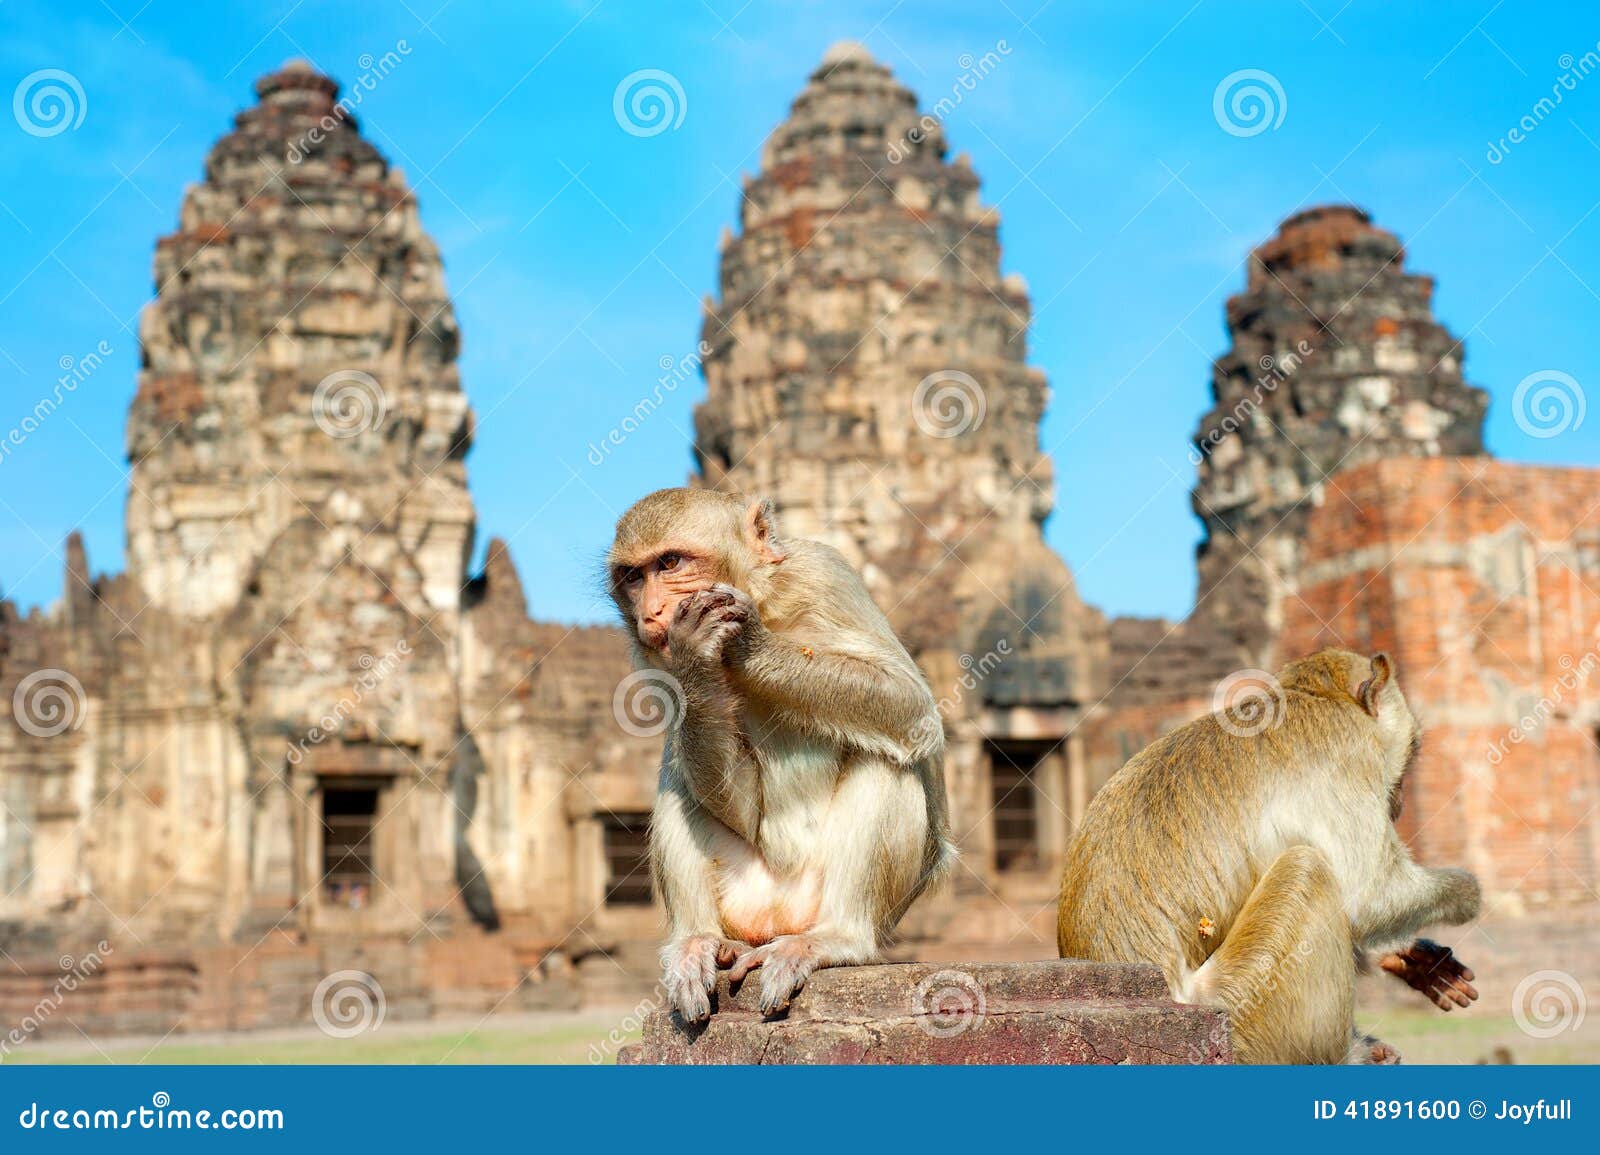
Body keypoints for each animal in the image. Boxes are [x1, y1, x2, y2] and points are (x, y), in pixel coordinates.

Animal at [607, 488, 955, 1023]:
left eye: (669, 563)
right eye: (632, 577)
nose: (652, 612)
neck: (768, 602)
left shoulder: (825, 573)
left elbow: (911, 707)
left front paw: (748, 647)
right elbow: (741, 808)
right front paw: (696, 658)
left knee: (888, 761)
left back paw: (836, 939)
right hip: (744, 896)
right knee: (677, 780)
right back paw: (699, 942)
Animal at [1057, 649, 1481, 1064]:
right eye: (1412, 751)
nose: (1401, 801)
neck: (1313, 697)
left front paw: (1405, 955)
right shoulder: (1349, 753)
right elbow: (1369, 896)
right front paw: (1467, 894)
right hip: (1244, 1009)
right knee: (1308, 868)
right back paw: (1353, 1054)